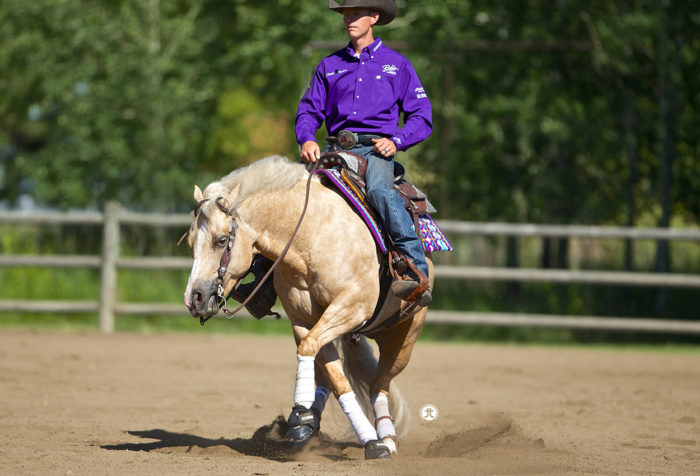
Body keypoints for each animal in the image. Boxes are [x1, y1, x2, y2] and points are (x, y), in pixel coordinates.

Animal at [184, 155, 433, 460]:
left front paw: (303, 415)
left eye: (221, 240)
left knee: (379, 384)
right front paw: (305, 420)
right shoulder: (304, 319)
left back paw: (386, 437)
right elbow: (330, 372)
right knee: (329, 378)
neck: (312, 238)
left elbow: (312, 352)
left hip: (403, 338)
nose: (195, 298)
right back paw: (317, 425)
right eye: (191, 242)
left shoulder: (352, 306)